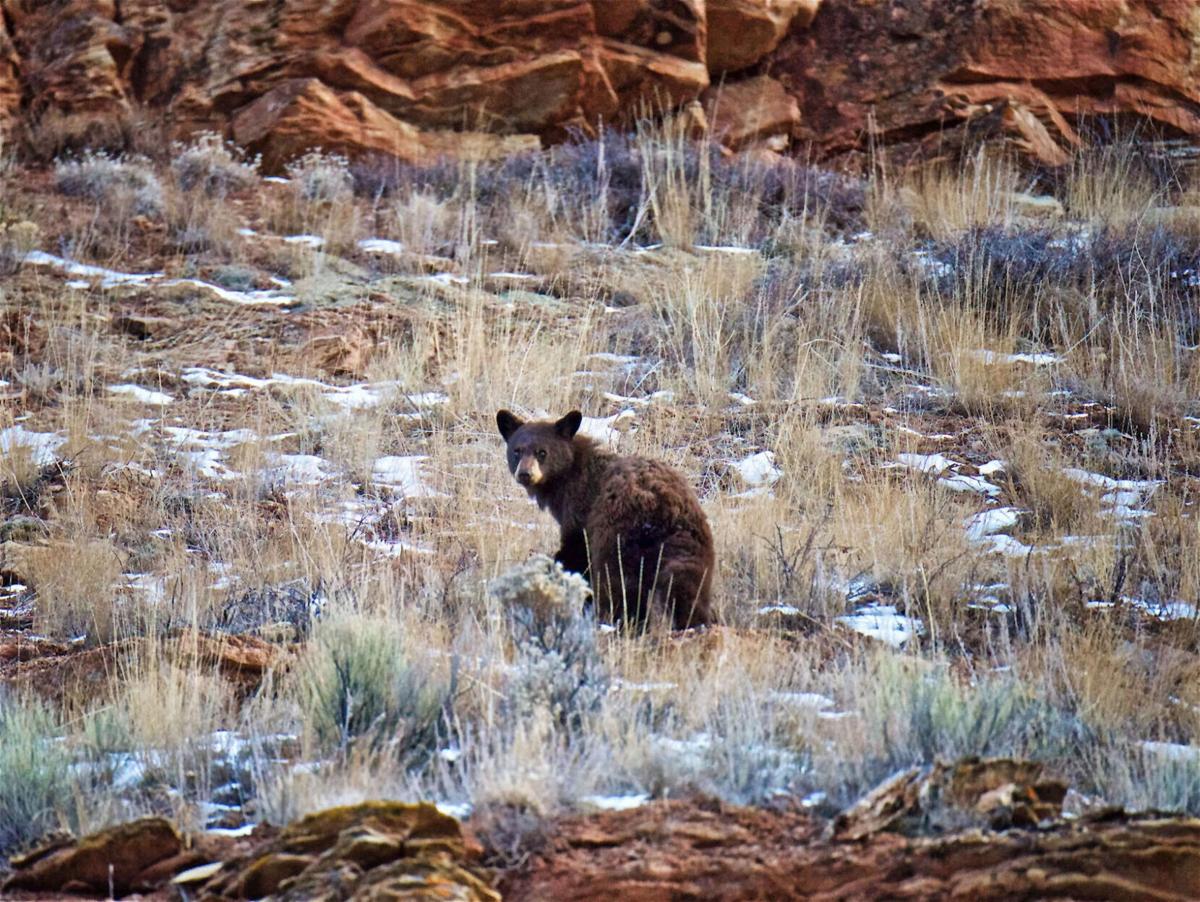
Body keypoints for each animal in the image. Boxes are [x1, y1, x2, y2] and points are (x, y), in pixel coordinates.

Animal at [497, 408, 715, 630]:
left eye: (542, 452)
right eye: (517, 451)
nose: (525, 474)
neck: (568, 479)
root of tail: (665, 509)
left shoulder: (581, 512)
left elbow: (576, 554)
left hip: (619, 536)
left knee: (617, 582)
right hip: (692, 546)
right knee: (687, 587)